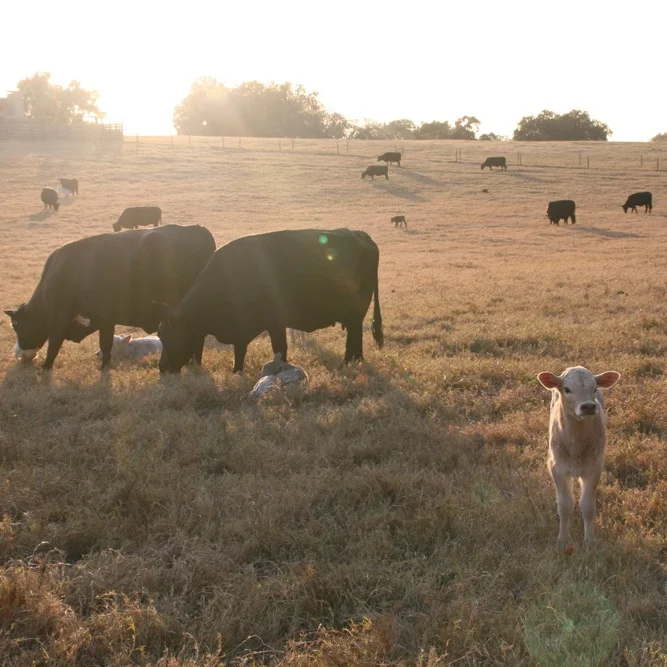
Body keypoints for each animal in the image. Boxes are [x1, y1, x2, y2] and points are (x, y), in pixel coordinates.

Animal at [4, 224, 216, 370]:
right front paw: (105, 367)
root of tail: (197, 229)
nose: (17, 352)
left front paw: (46, 368)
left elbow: (53, 346)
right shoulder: (105, 319)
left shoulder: (59, 319)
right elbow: (105, 345)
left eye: (16, 325)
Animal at [157, 228, 384, 374]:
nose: (162, 368)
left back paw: (346, 365)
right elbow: (241, 350)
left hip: (354, 316)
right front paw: (236, 371)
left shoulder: (275, 323)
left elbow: (279, 348)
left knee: (354, 342)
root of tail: (360, 235)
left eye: (168, 336)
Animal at [537, 366, 620, 549]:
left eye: (594, 388)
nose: (588, 406)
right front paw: (563, 539)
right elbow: (565, 505)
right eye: (567, 389)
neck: (576, 445)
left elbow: (587, 506)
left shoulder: (594, 467)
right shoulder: (556, 467)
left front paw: (589, 540)